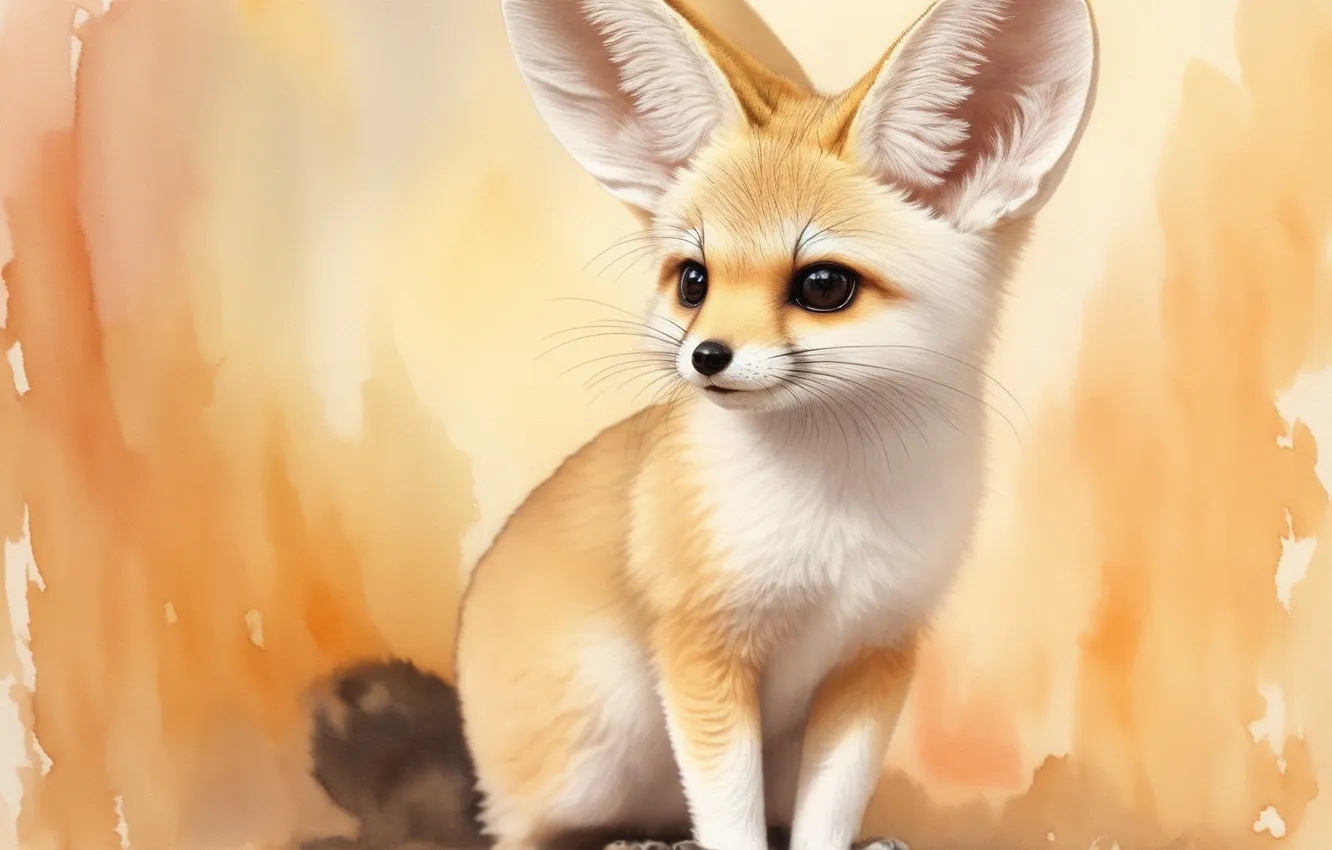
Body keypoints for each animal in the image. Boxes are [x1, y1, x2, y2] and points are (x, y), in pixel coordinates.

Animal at [451, 2, 1097, 850]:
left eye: (822, 286)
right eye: (694, 281)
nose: (706, 357)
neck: (833, 514)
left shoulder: (875, 653)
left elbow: (825, 816)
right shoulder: (702, 651)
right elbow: (732, 821)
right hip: (594, 755)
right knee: (533, 835)